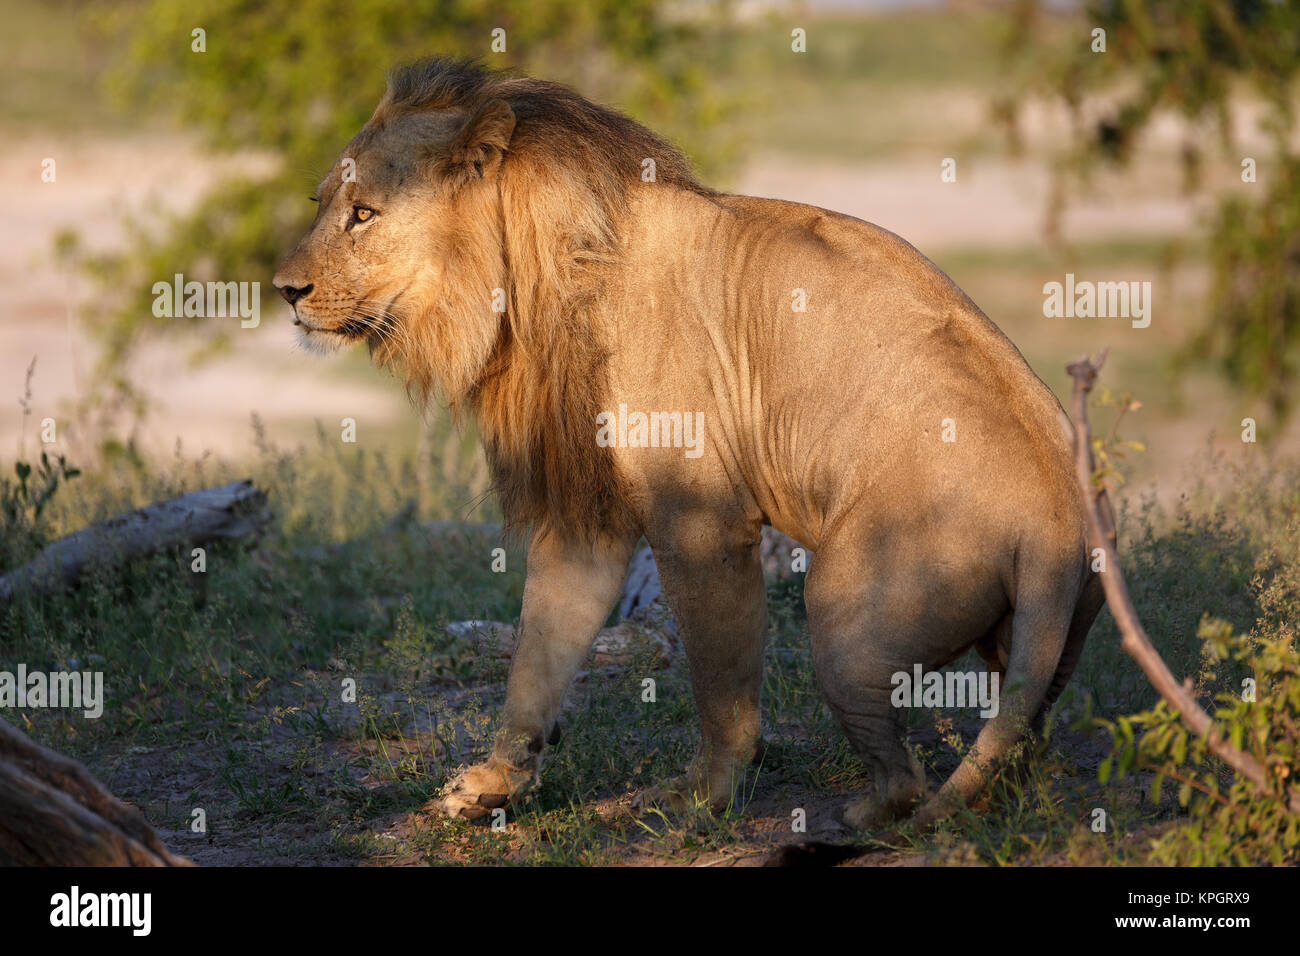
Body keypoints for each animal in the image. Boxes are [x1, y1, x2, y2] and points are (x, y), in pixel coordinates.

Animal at [273, 56, 1105, 831]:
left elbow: (719, 678)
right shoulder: (587, 513)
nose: (284, 291)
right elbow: (538, 654)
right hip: (1041, 644)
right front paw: (492, 785)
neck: (527, 288)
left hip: (844, 613)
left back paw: (861, 815)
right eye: (323, 205)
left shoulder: (701, 517)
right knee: (1018, 739)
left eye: (363, 213)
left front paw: (699, 797)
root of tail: (1060, 520)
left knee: (903, 779)